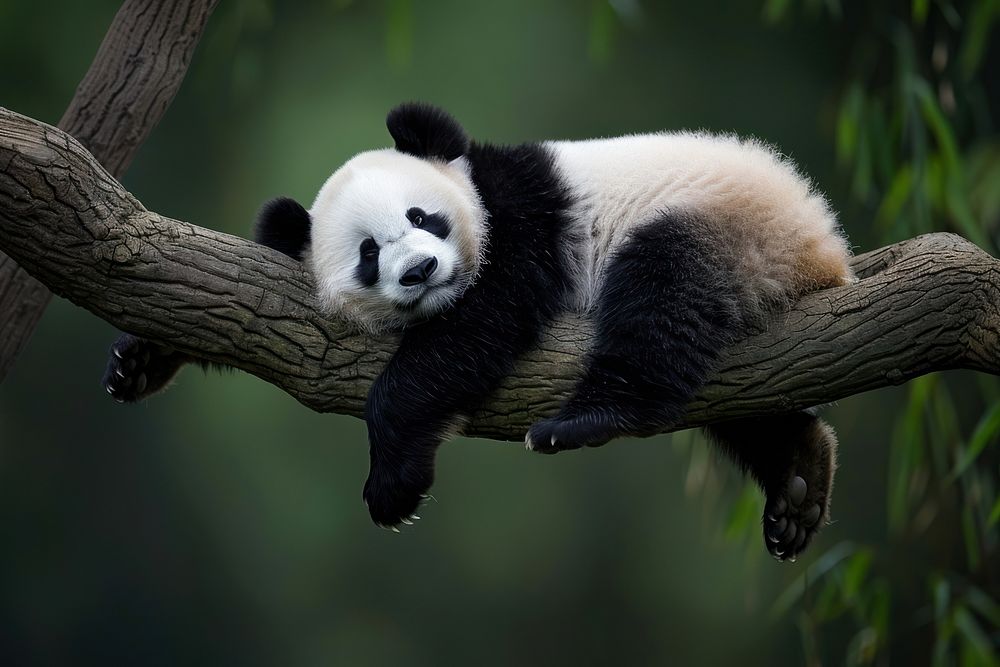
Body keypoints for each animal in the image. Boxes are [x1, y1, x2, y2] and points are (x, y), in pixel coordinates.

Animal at [104, 103, 853, 561]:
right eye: (369, 252)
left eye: (423, 218)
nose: (421, 271)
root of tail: (823, 248)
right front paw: (141, 360)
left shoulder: (521, 220)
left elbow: (478, 326)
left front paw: (393, 484)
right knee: (735, 396)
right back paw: (798, 479)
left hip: (728, 227)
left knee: (662, 294)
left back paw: (588, 418)